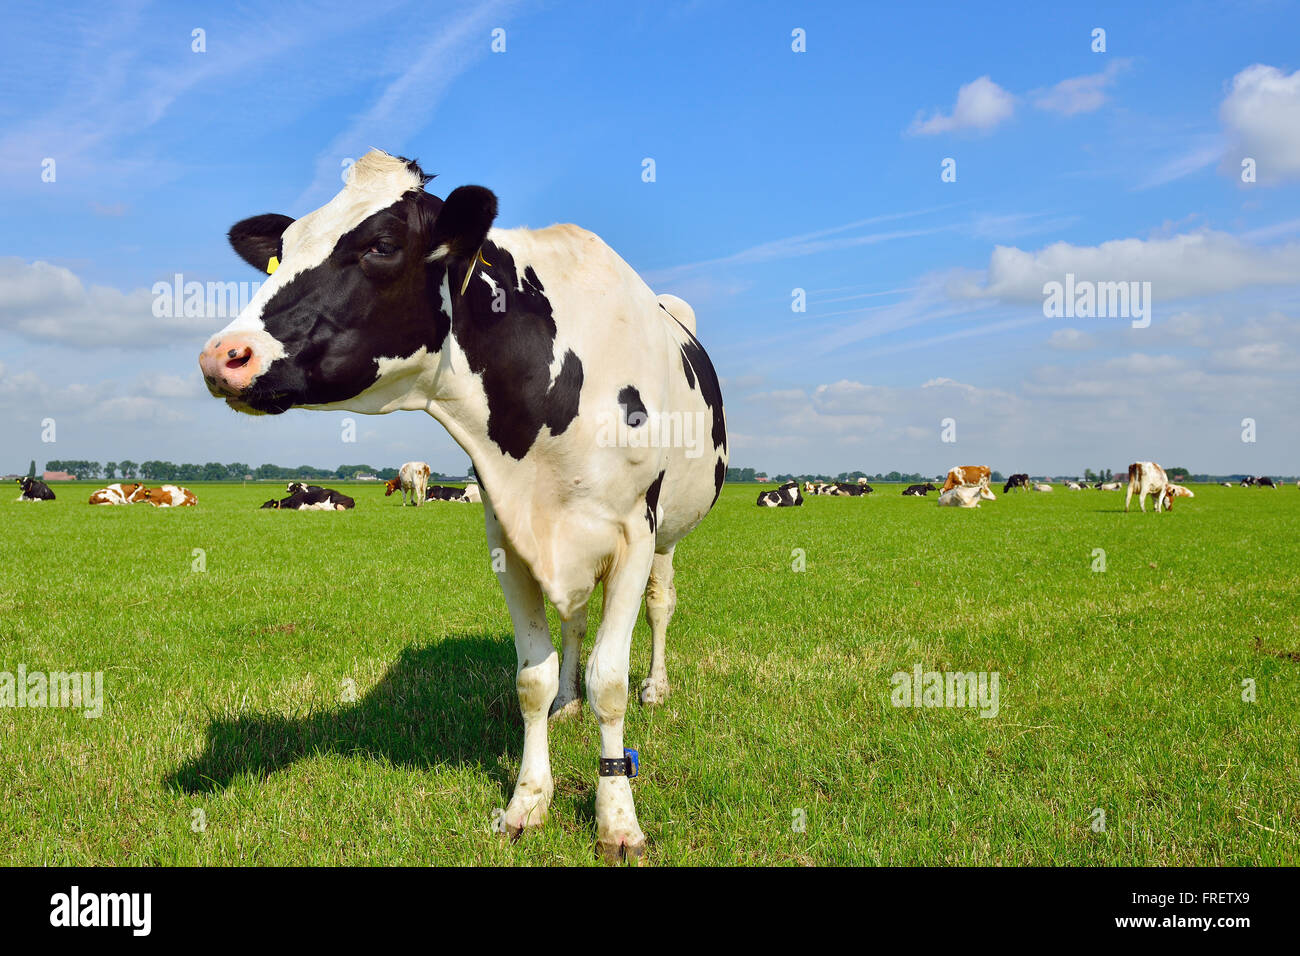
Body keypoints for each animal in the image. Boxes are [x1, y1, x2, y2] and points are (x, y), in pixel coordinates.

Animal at [198, 149, 727, 863]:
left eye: (382, 245)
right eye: (282, 251)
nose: (222, 356)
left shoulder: (632, 533)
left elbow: (610, 684)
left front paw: (617, 819)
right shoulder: (511, 532)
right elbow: (532, 678)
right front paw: (527, 801)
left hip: (667, 535)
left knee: (660, 606)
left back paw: (657, 686)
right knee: (574, 624)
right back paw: (568, 702)